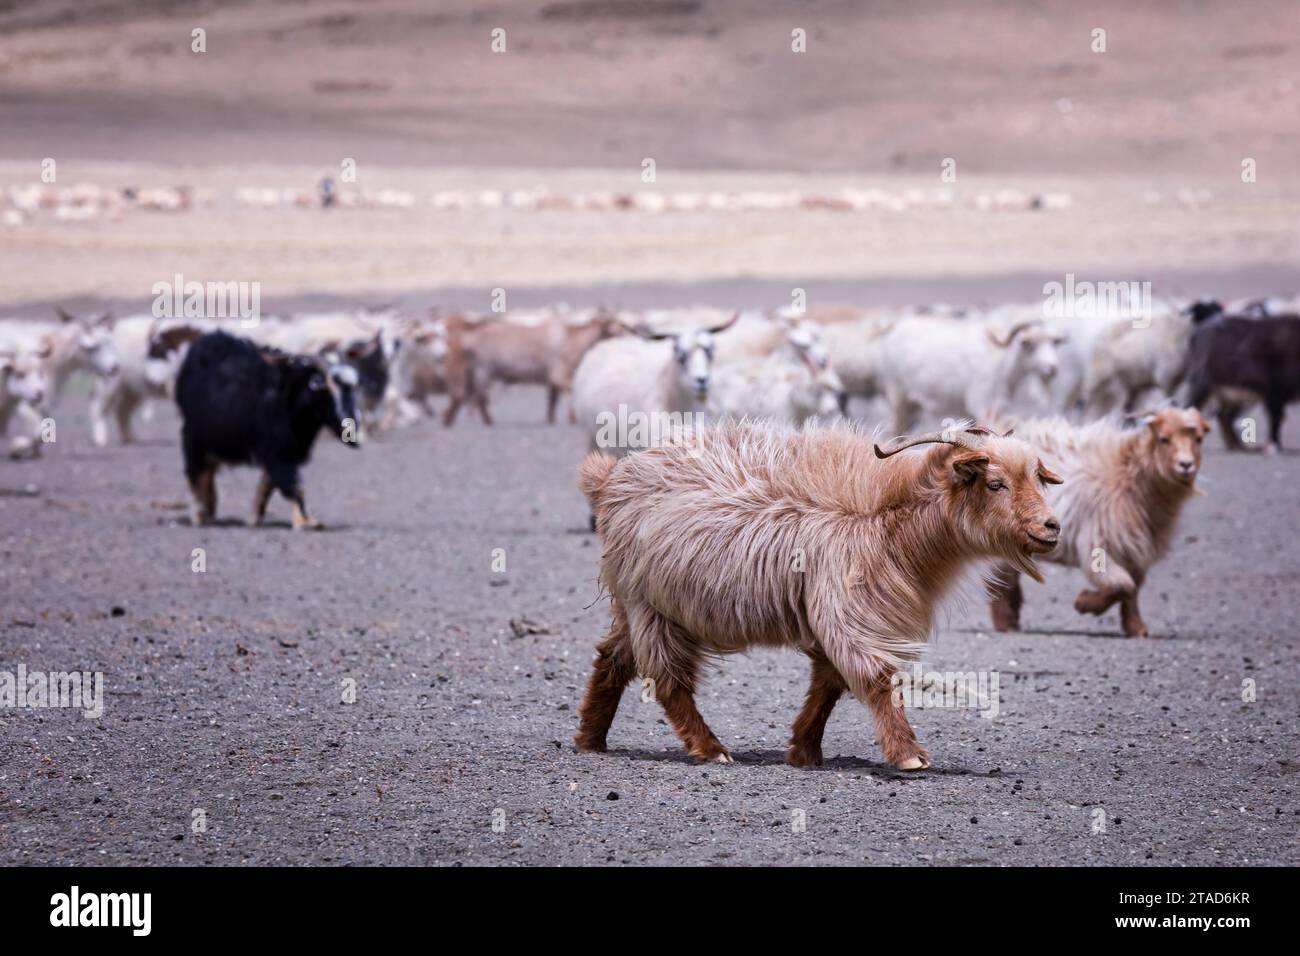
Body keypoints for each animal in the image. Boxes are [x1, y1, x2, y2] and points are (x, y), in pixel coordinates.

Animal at [575, 422, 1062, 770]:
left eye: (1036, 479)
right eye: (994, 483)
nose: (1051, 527)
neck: (888, 521)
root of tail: (611, 479)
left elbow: (830, 682)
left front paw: (804, 750)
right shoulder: (847, 609)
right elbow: (874, 677)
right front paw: (908, 755)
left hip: (639, 604)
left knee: (612, 656)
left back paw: (590, 740)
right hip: (650, 605)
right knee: (666, 677)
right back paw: (709, 747)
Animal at [987, 408, 1209, 637]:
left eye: (1199, 439)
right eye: (1164, 439)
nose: (1186, 465)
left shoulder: (1135, 552)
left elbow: (1133, 589)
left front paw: (1136, 627)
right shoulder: (1097, 543)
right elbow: (1122, 585)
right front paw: (1084, 603)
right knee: (999, 582)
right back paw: (1005, 623)